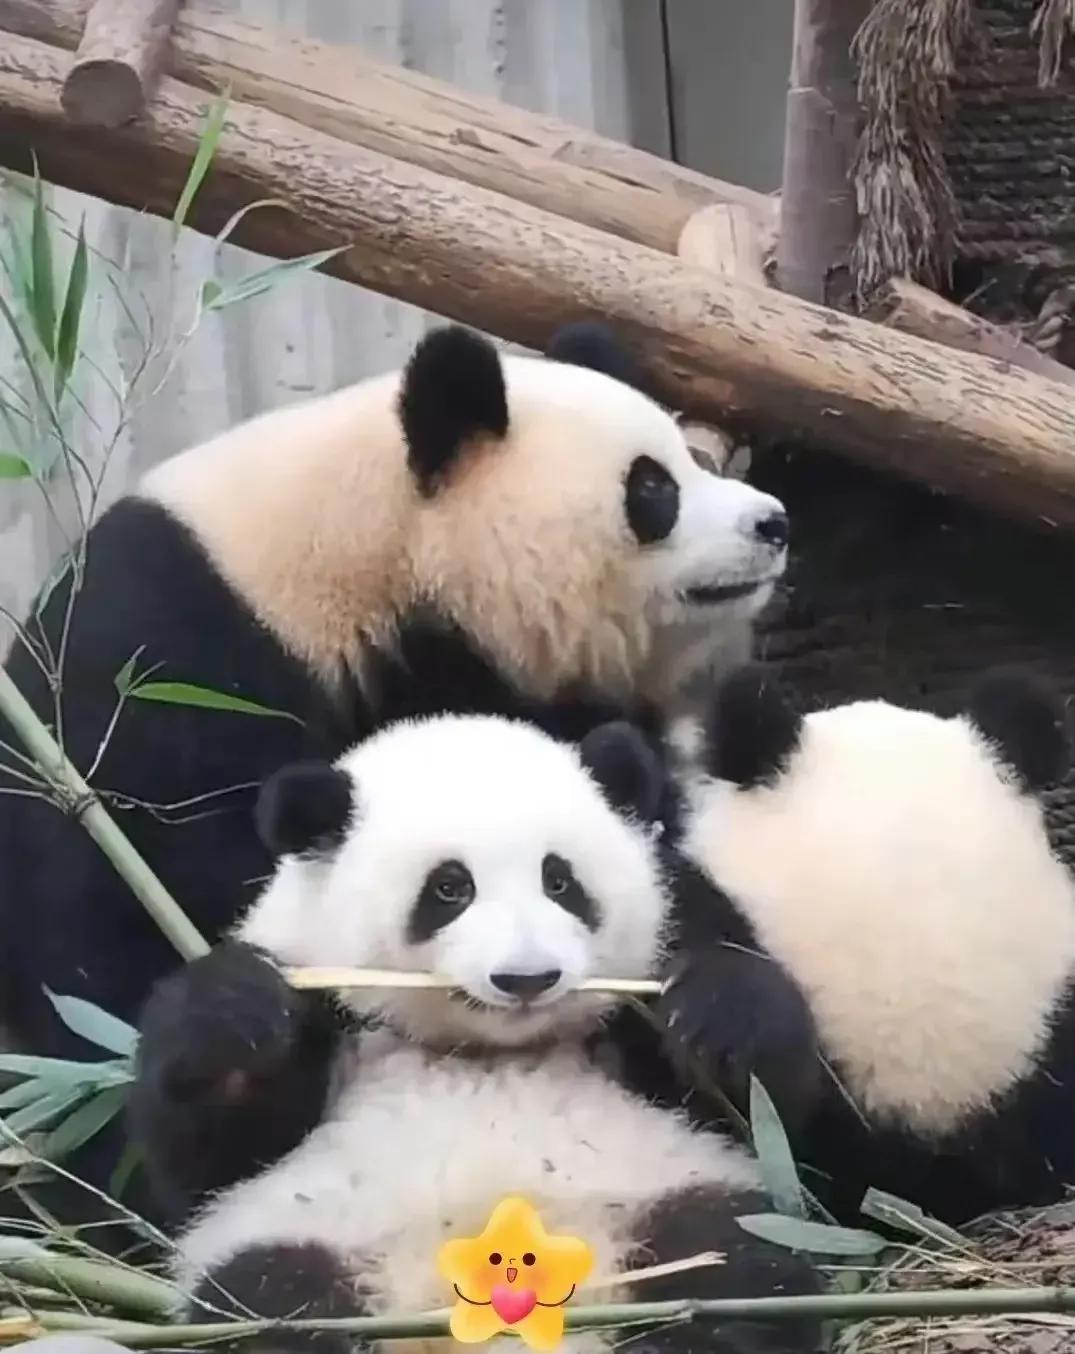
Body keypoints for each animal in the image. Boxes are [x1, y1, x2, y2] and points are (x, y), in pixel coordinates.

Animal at [128, 712, 822, 1354]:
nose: (527, 978)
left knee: (733, 1267)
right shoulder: (312, 985)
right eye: (449, 888)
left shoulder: (672, 935)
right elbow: (209, 1161)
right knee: (268, 1302)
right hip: (309, 1243)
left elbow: (772, 1114)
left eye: (560, 880)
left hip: (662, 1203)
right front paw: (238, 1014)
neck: (485, 1049)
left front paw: (723, 1017)